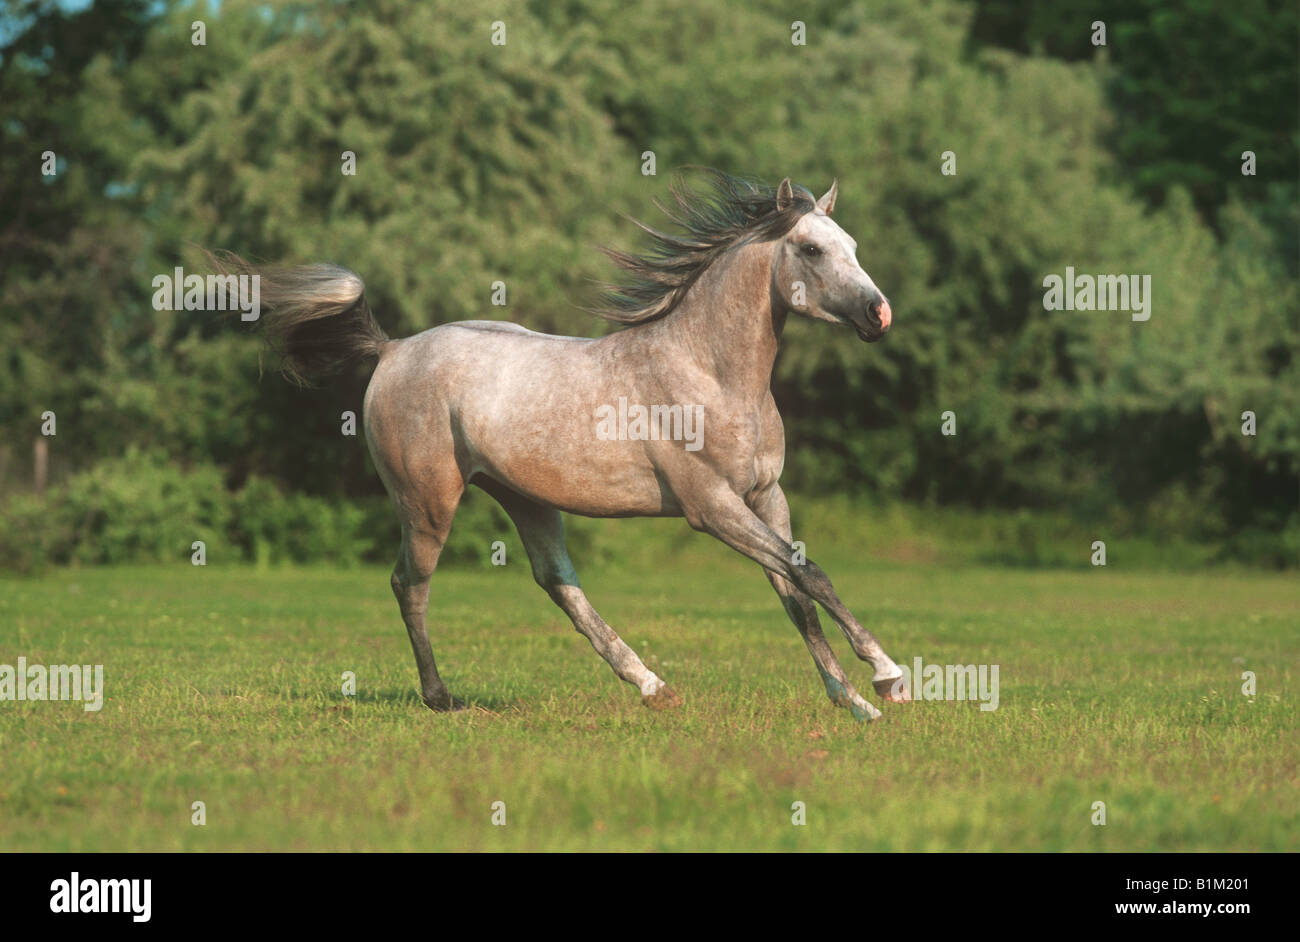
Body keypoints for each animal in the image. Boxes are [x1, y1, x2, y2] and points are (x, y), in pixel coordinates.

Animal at [230, 170, 910, 720]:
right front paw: (888, 679)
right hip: (428, 503)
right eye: (812, 248)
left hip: (526, 499)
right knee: (410, 585)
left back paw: (653, 687)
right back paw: (441, 698)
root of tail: (393, 350)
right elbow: (812, 576)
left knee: (558, 582)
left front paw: (854, 703)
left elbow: (798, 593)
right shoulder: (711, 508)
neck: (709, 373)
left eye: (852, 246)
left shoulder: (766, 497)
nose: (879, 315)